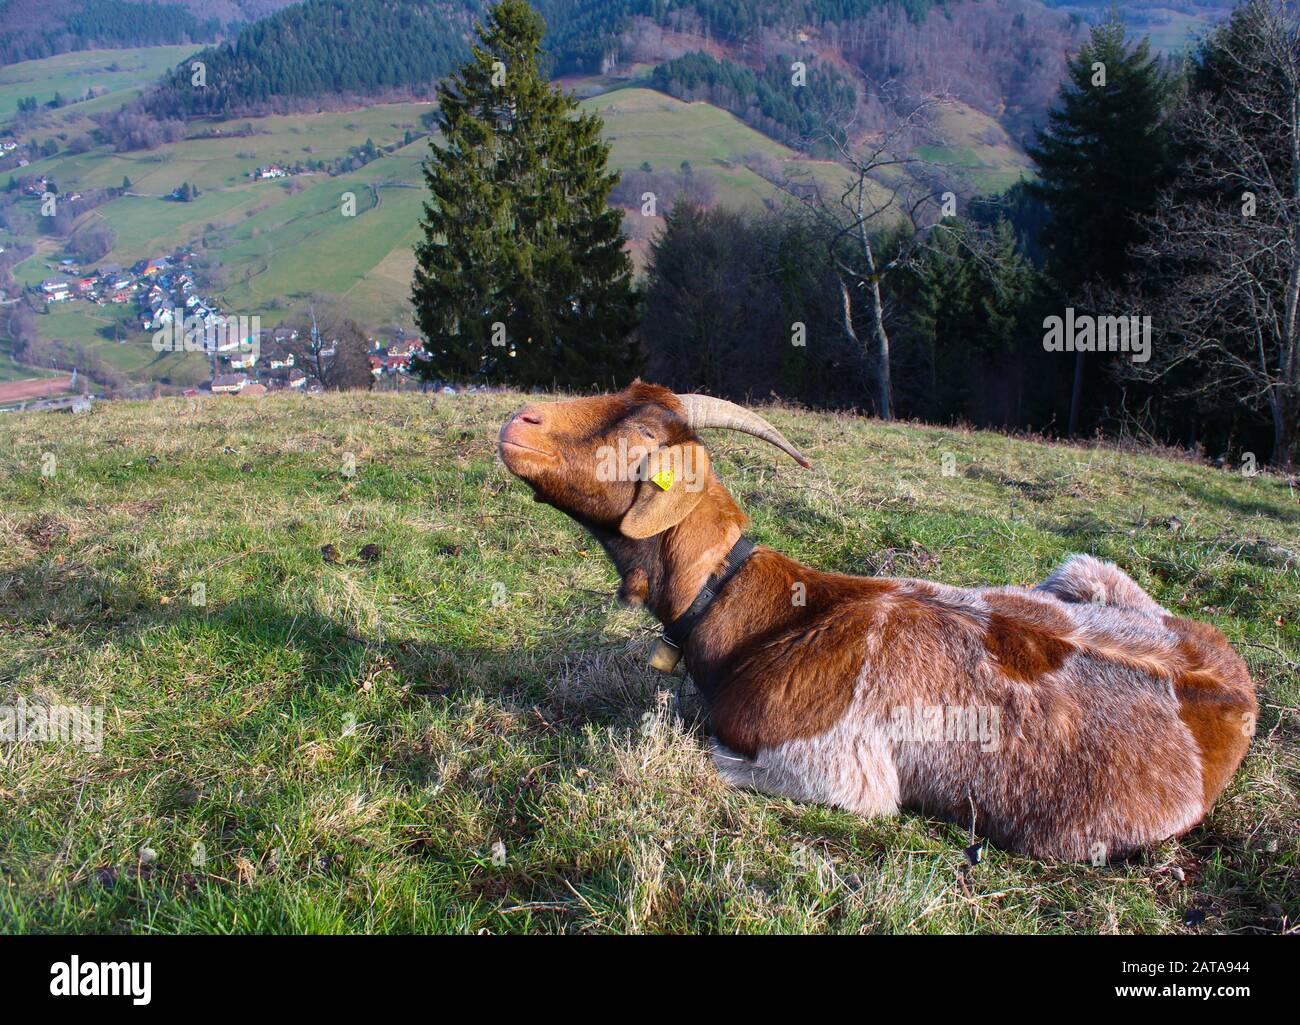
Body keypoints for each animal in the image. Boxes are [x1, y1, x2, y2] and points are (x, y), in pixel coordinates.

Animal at [497, 381, 1257, 861]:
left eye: (637, 435)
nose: (517, 423)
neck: (756, 614)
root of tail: (1237, 682)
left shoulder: (843, 772)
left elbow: (705, 751)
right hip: (1081, 571)